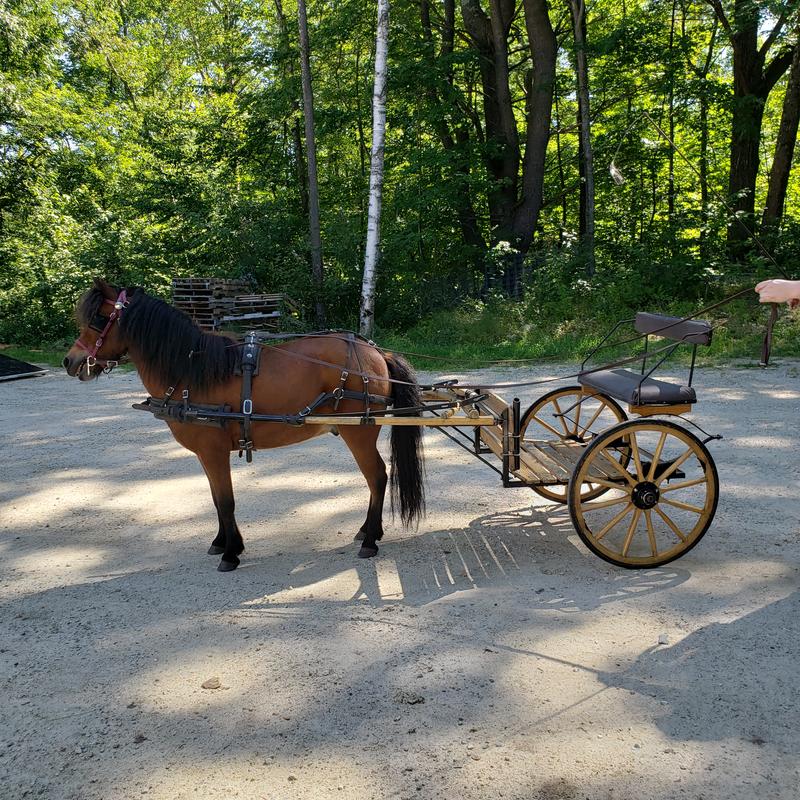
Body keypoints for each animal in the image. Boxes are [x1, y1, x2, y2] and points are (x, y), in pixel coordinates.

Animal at [62, 279, 425, 572]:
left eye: (98, 319)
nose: (70, 361)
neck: (191, 373)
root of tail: (375, 353)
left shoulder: (213, 451)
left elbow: (225, 500)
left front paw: (231, 553)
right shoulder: (207, 454)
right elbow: (214, 498)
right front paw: (221, 542)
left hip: (359, 433)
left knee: (377, 477)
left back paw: (370, 539)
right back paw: (367, 531)